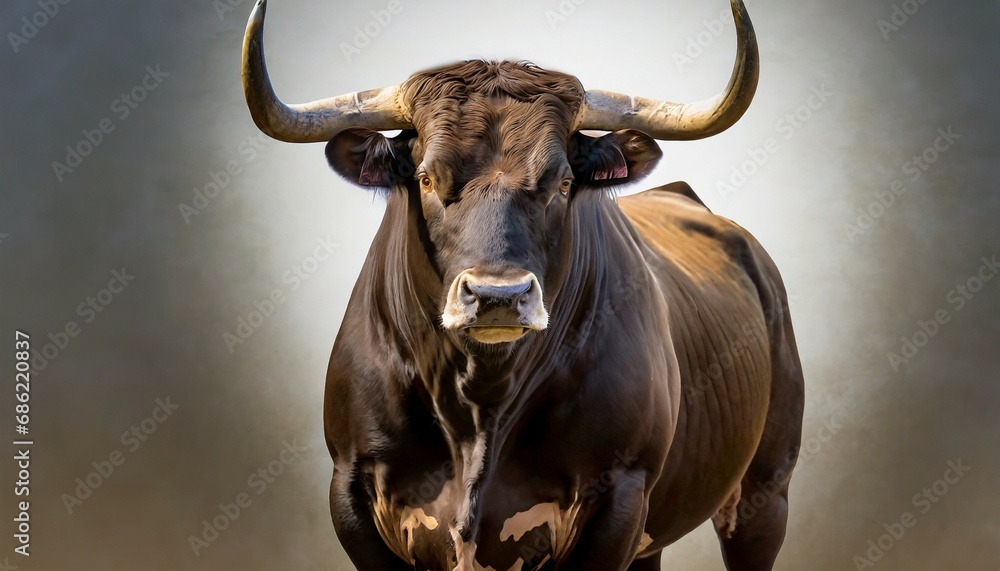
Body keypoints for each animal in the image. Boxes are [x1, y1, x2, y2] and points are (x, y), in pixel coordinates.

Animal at [241, 0, 804, 569]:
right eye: (426, 178)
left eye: (562, 182)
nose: (499, 297)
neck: (479, 408)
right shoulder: (351, 491)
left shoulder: (620, 497)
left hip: (766, 493)